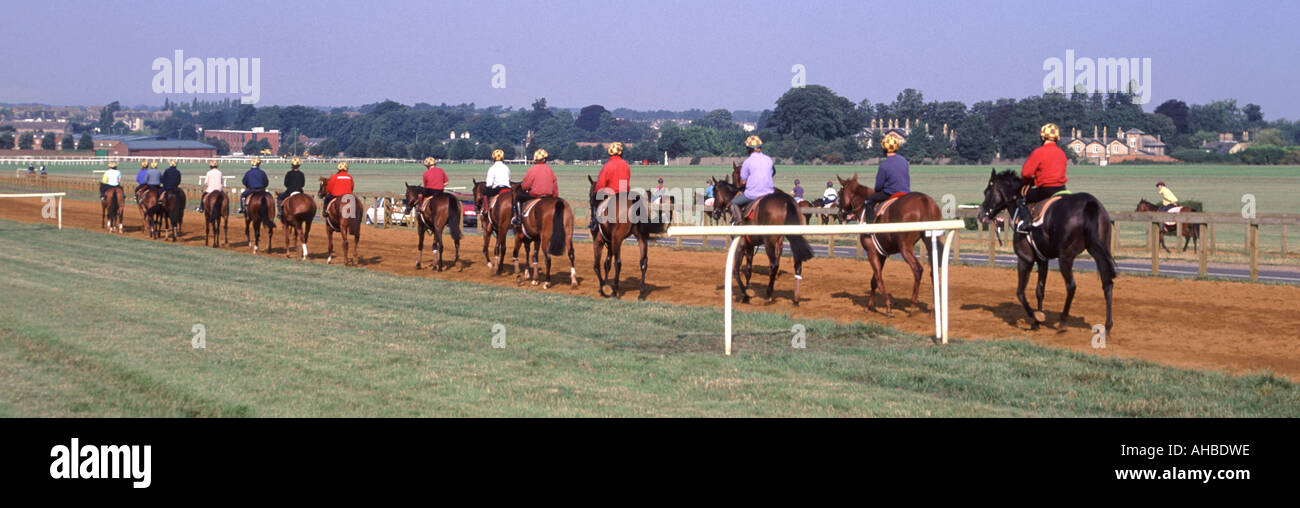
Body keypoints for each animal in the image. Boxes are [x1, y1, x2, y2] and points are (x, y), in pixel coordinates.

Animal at [711, 165, 814, 305]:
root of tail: (786, 201)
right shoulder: (750, 245)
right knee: (796, 263)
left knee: (774, 265)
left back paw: (768, 295)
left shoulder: (741, 245)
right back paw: (796, 298)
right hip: (786, 240)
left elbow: (736, 271)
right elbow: (748, 269)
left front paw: (745, 294)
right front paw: (748, 290)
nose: (715, 213)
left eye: (714, 193)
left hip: (769, 242)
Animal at [836, 173, 943, 317]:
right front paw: (869, 306)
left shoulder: (872, 252)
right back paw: (933, 308)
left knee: (917, 269)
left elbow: (878, 279)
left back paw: (913, 306)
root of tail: (923, 201)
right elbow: (874, 281)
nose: (840, 215)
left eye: (839, 193)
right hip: (930, 244)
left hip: (905, 248)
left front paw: (887, 307)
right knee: (934, 271)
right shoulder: (882, 254)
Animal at [979, 169, 1115, 332]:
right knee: (1107, 284)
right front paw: (1037, 322)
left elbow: (1020, 292)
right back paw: (1107, 326)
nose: (981, 215)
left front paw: (1035, 316)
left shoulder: (1025, 259)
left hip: (1066, 258)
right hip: (1098, 252)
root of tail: (1090, 203)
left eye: (987, 192)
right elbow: (1040, 291)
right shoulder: (1042, 260)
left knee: (1071, 286)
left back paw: (1062, 322)